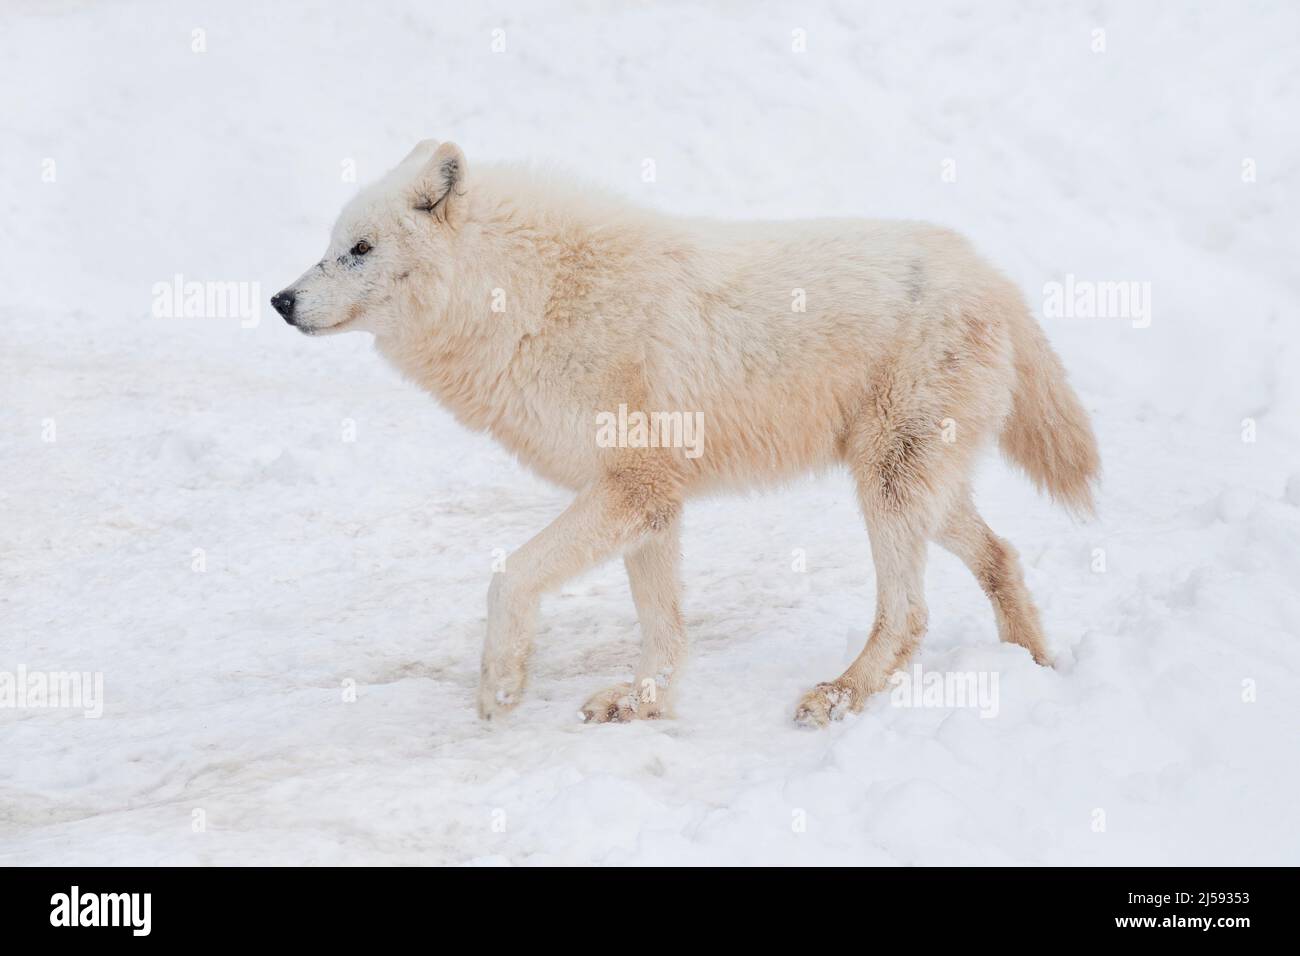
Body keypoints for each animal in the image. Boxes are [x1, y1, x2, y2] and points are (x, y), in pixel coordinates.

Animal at [272, 140, 1100, 727]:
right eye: (330, 245)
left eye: (360, 249)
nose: (280, 300)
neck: (530, 299)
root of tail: (990, 273)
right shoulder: (652, 502)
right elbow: (663, 627)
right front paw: (644, 703)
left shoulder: (633, 486)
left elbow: (509, 577)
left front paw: (501, 687)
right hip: (909, 484)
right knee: (1000, 556)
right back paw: (1035, 666)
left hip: (888, 486)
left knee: (909, 613)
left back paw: (838, 695)